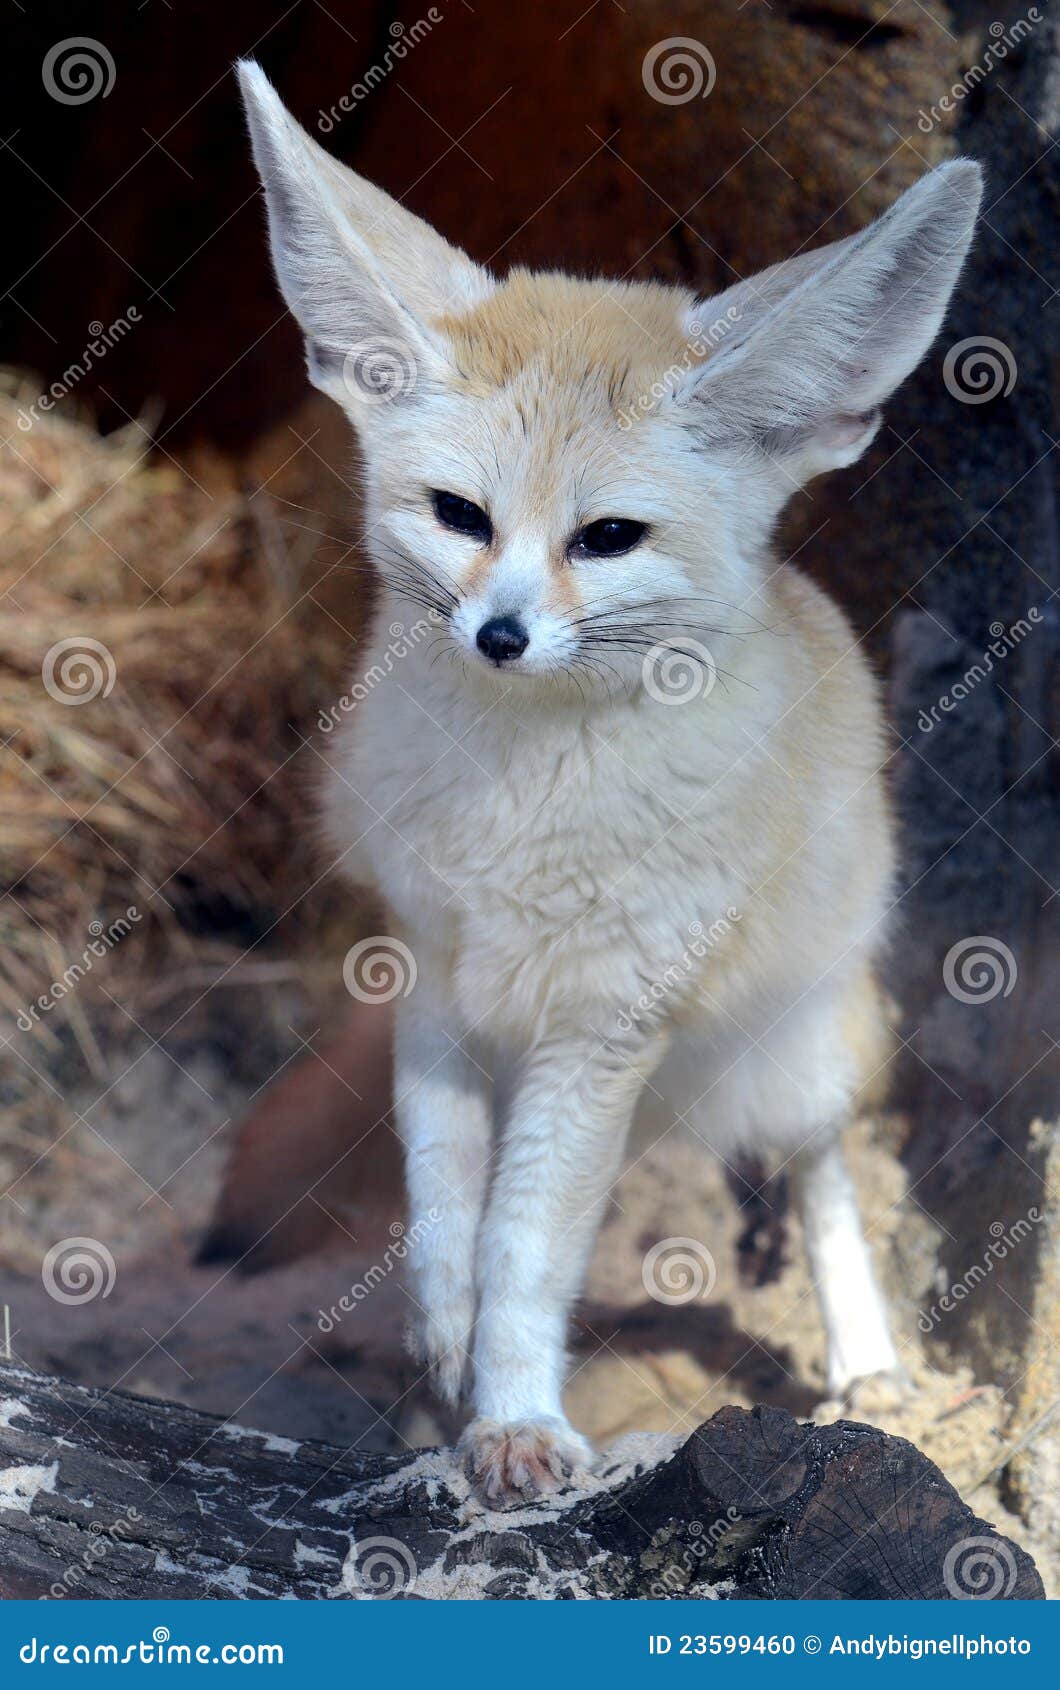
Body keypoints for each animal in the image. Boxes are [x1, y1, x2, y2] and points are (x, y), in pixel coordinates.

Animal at [238, 60, 982, 1507]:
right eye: (460, 516)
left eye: (608, 538)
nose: (500, 635)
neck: (522, 805)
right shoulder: (439, 978)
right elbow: (447, 1206)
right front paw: (445, 1347)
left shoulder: (602, 1027)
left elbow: (529, 1244)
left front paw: (519, 1417)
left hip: (792, 1054)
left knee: (822, 1168)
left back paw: (866, 1356)